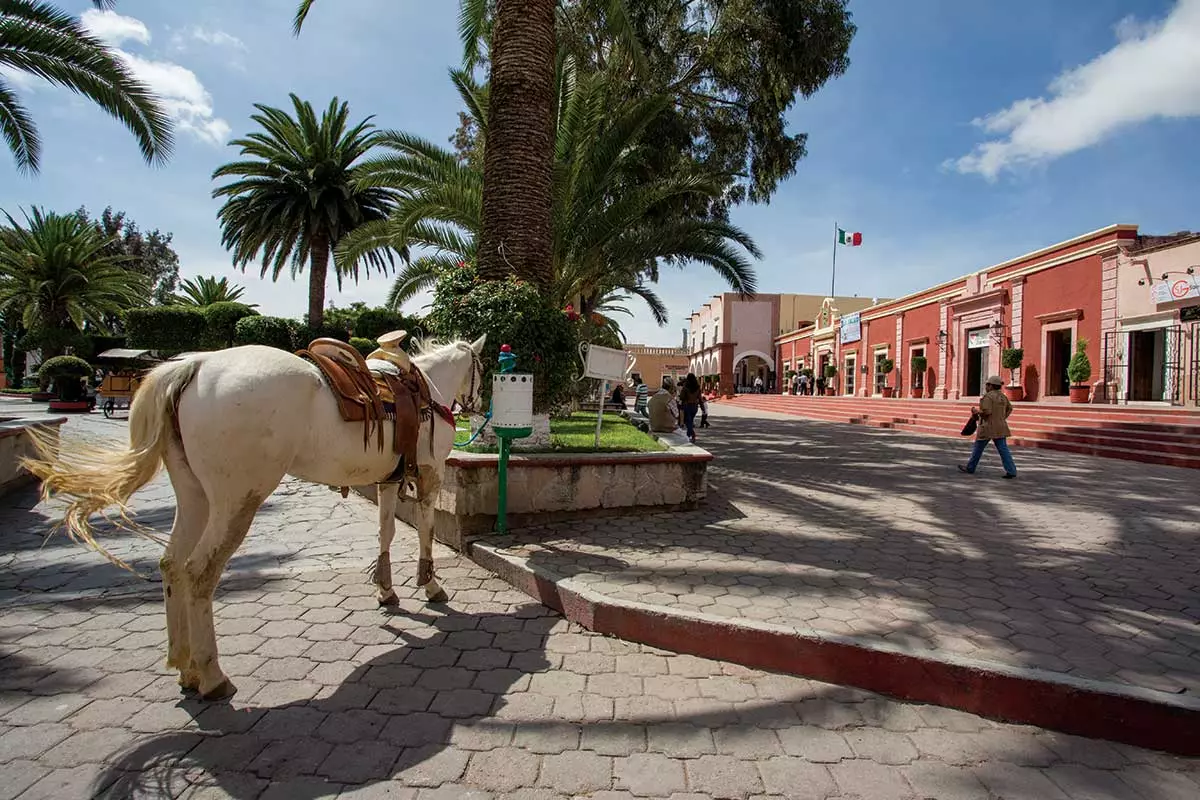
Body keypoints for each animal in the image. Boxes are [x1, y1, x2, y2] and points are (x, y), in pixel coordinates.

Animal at [24, 338, 482, 700]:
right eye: (483, 370)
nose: (476, 410)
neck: (424, 387)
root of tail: (195, 366)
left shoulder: (388, 480)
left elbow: (386, 531)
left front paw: (386, 590)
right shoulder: (429, 473)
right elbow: (425, 529)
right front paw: (431, 584)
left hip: (194, 496)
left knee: (172, 564)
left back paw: (185, 667)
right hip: (237, 499)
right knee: (199, 572)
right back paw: (212, 676)